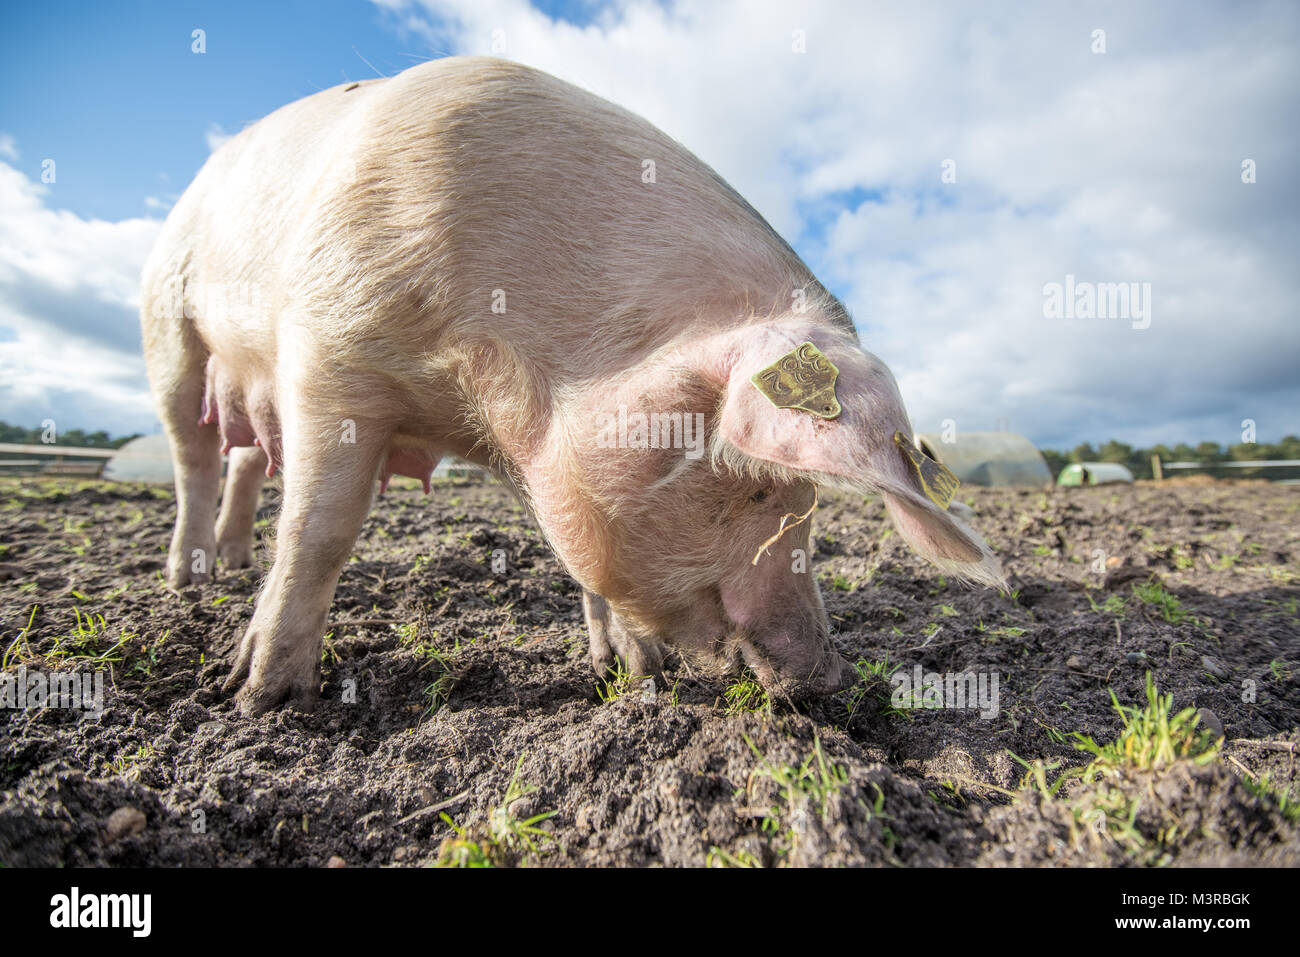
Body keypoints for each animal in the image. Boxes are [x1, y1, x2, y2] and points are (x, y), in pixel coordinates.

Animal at [140, 57, 1004, 716]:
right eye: (759, 491)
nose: (829, 676)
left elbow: (579, 560)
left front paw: (629, 672)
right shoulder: (328, 350)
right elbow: (318, 531)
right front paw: (260, 698)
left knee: (246, 458)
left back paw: (231, 565)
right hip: (168, 327)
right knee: (194, 456)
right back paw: (191, 580)